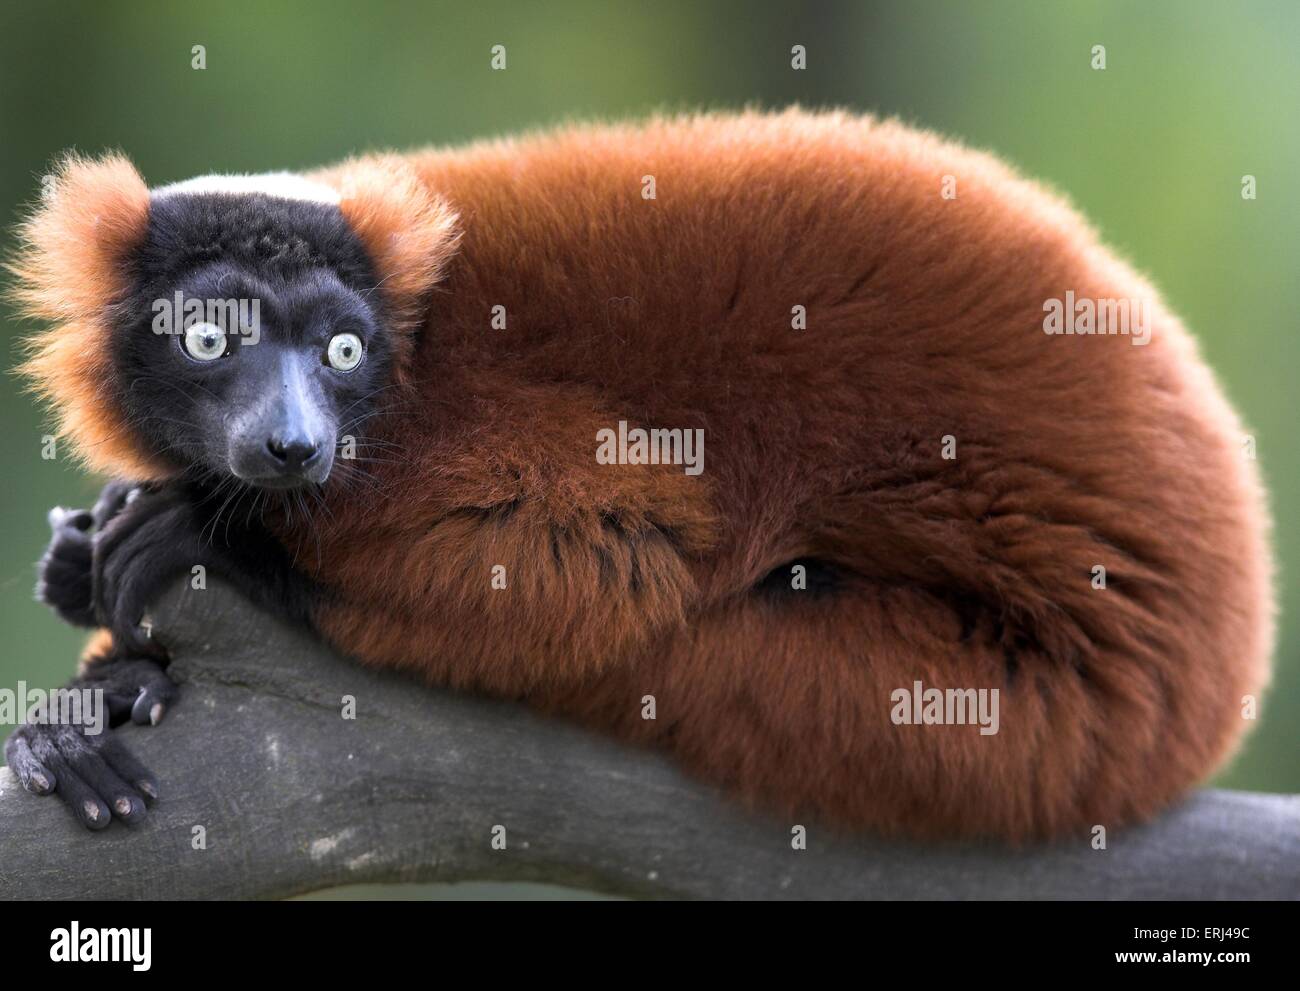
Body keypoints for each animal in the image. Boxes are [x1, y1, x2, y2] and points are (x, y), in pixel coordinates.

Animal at [4, 109, 1273, 841]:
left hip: (1037, 718)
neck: (418, 347)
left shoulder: (456, 409)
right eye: (208, 340)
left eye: (343, 353)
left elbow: (607, 554)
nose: (290, 447)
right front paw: (90, 654)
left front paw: (208, 544)